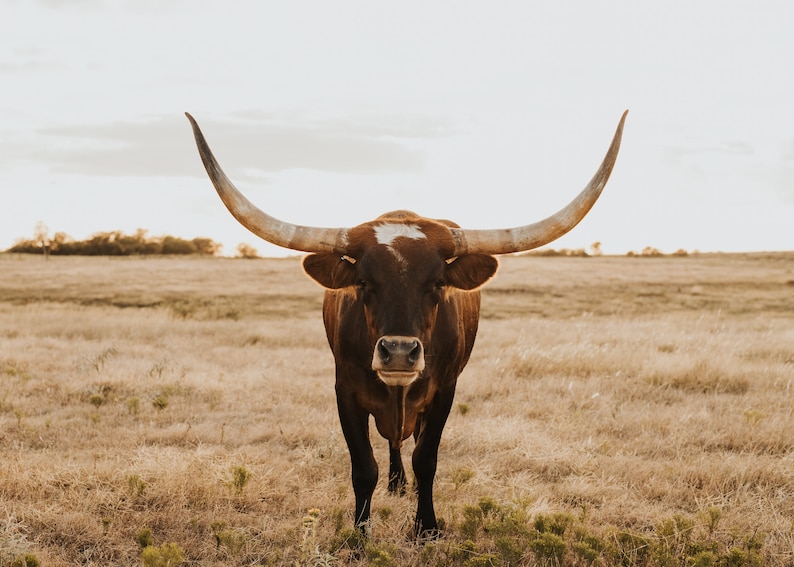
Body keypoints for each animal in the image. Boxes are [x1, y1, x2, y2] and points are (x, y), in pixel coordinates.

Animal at [186, 110, 627, 538]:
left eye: (438, 283)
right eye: (363, 282)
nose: (398, 352)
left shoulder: (444, 390)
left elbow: (426, 459)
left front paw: (426, 528)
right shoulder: (345, 392)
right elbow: (364, 467)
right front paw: (359, 536)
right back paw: (396, 483)